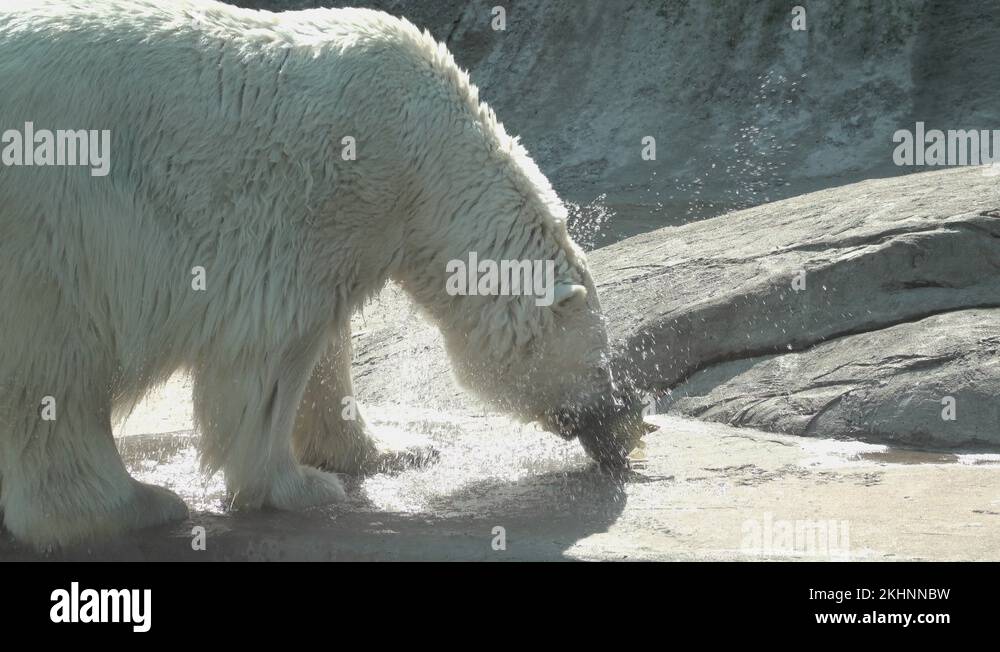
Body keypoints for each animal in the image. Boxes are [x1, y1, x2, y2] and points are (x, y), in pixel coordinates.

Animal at [0, 0, 637, 550]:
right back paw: (133, 505)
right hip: (54, 219)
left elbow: (330, 353)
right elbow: (273, 355)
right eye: (603, 363)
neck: (422, 149)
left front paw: (394, 449)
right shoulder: (311, 209)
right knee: (56, 367)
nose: (621, 420)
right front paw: (297, 486)